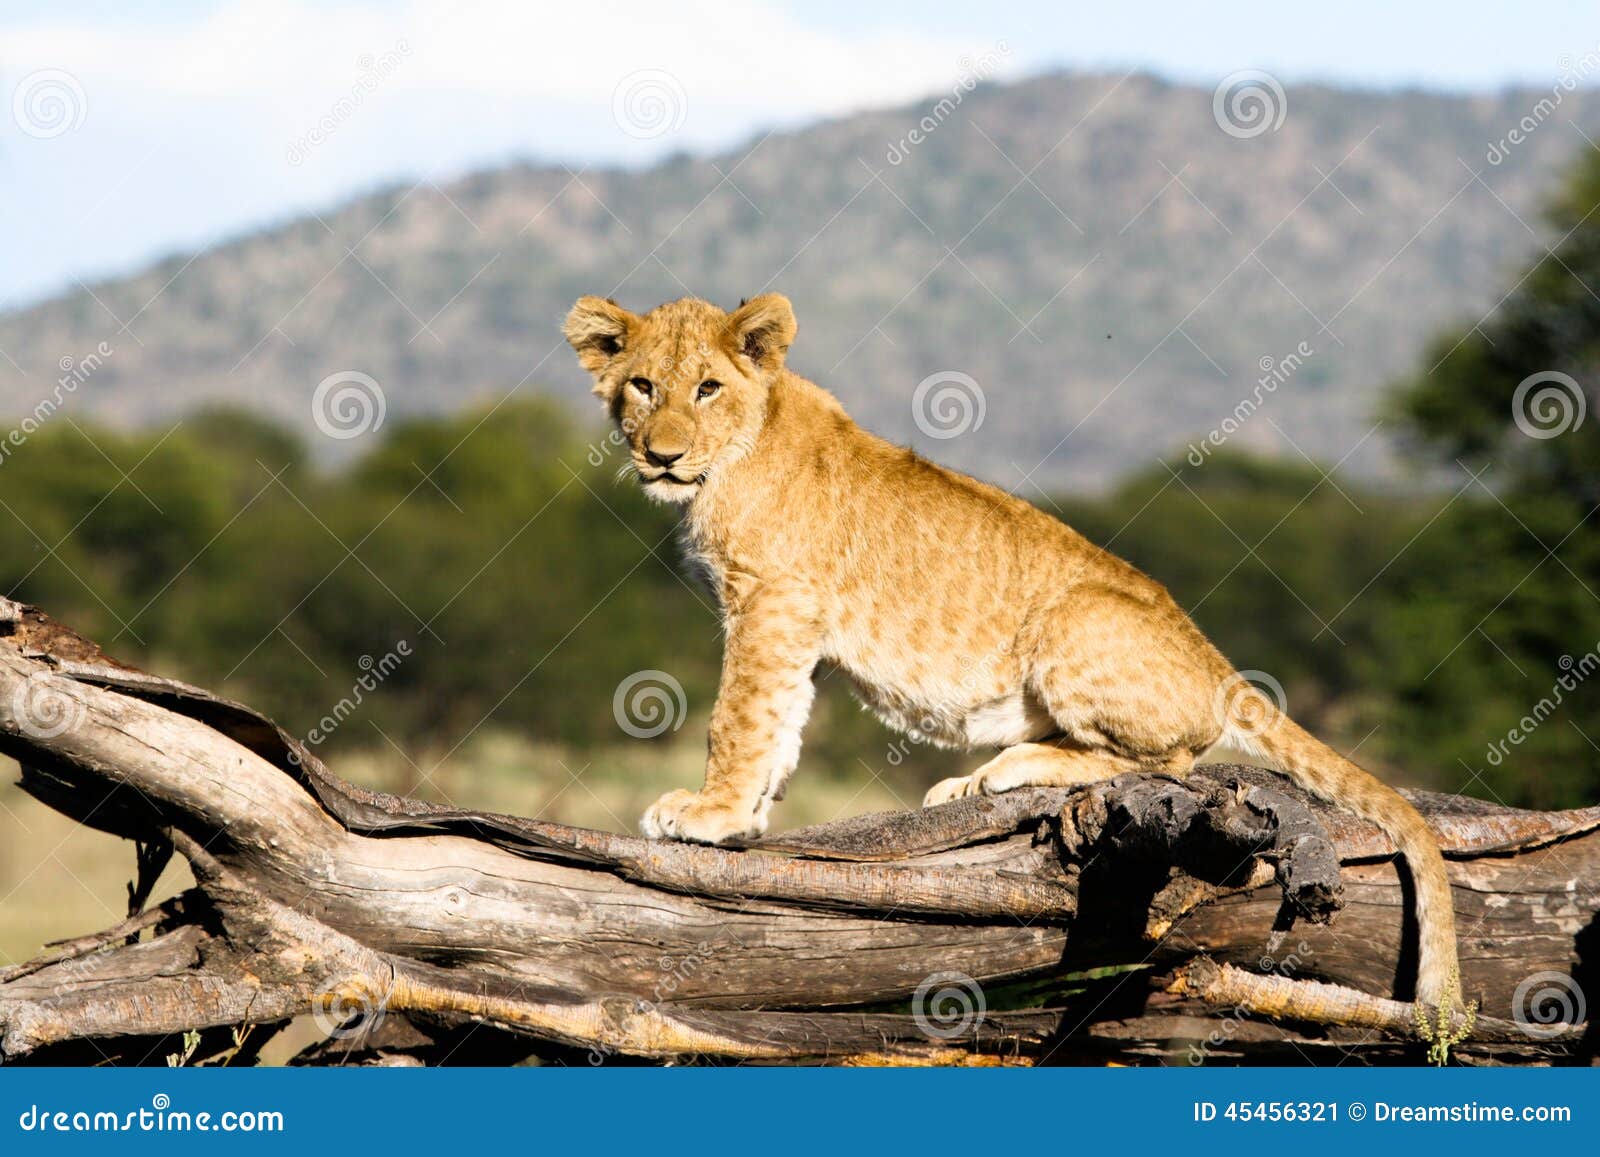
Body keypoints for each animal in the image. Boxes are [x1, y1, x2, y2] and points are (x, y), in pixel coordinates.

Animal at [564, 292, 1462, 1015]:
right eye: (643, 386)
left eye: (707, 388)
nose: (662, 453)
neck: (734, 453)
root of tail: (1217, 662)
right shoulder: (794, 623)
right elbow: (780, 722)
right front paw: (747, 817)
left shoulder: (769, 602)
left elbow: (738, 715)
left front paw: (708, 814)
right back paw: (970, 780)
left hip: (1074, 619)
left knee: (1170, 758)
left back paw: (1005, 768)